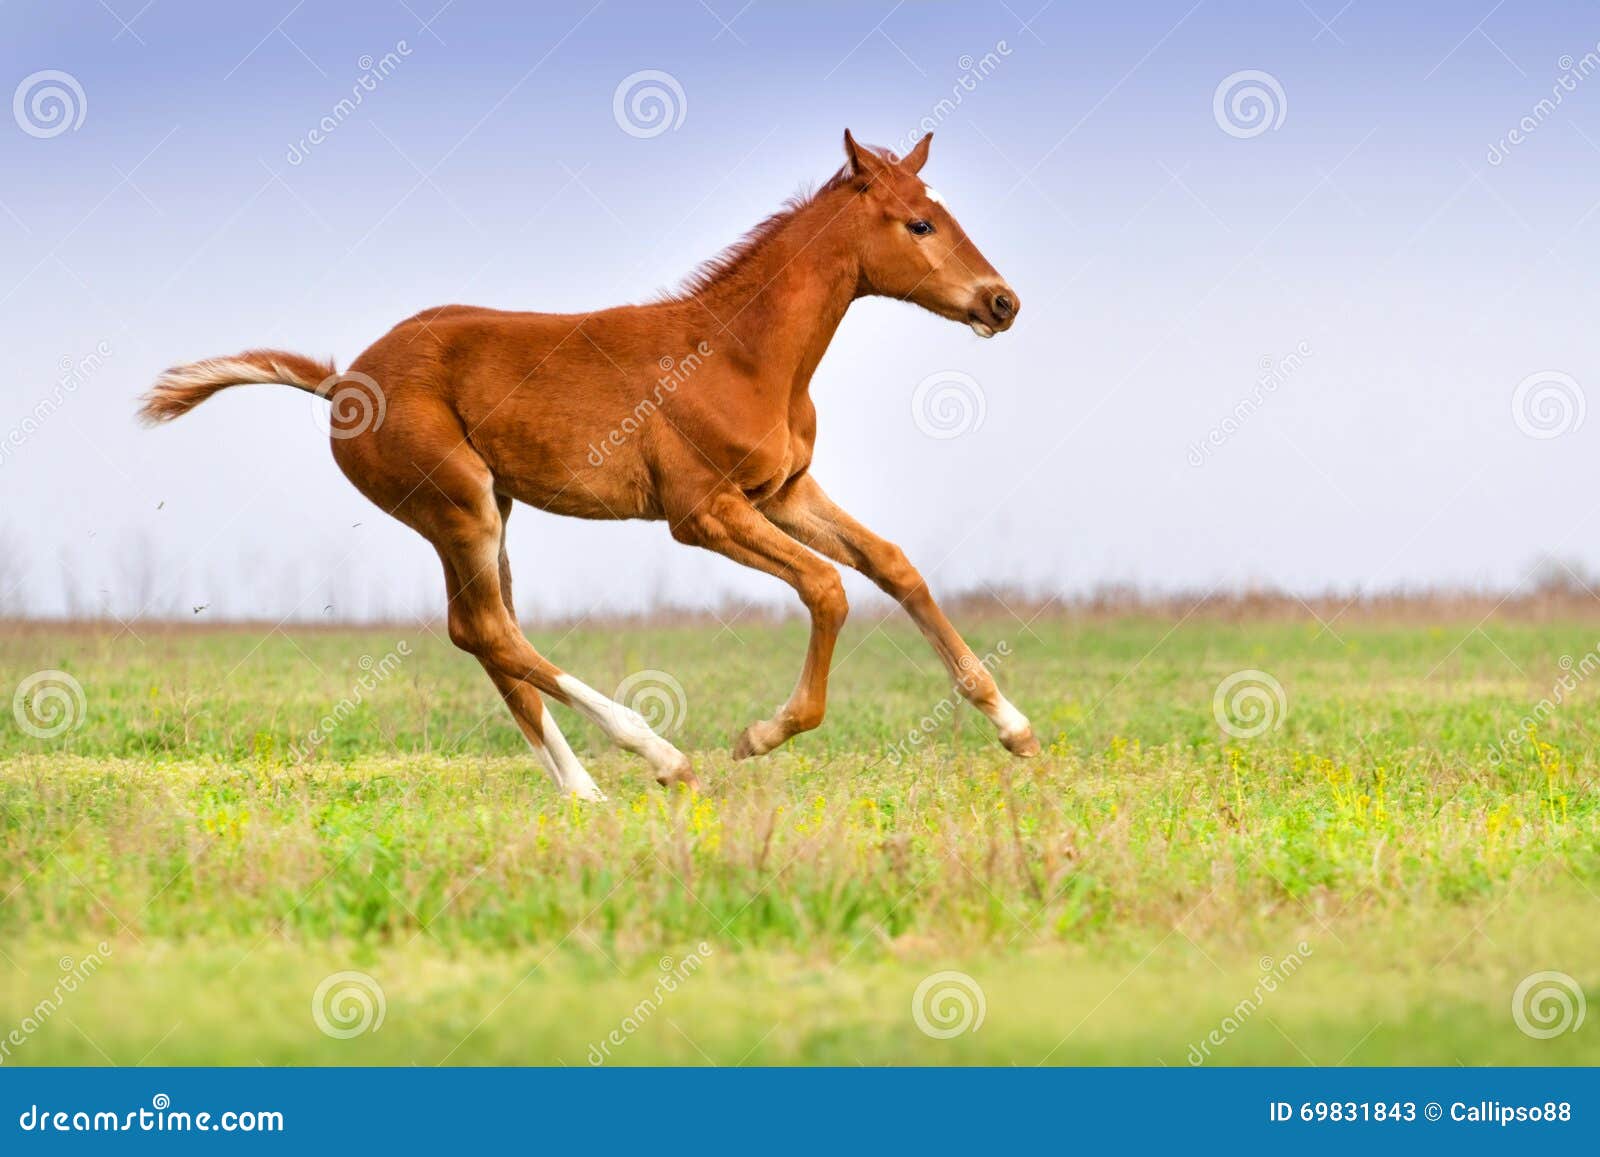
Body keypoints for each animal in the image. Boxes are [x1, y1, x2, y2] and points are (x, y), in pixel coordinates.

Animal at [138, 129, 1038, 800]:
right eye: (918, 224)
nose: (1002, 301)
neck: (743, 355)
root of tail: (340, 384)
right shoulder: (703, 513)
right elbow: (827, 587)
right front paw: (761, 734)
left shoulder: (783, 492)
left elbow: (894, 565)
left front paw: (1015, 726)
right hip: (460, 505)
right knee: (487, 630)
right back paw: (660, 757)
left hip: (489, 512)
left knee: (487, 636)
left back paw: (586, 789)